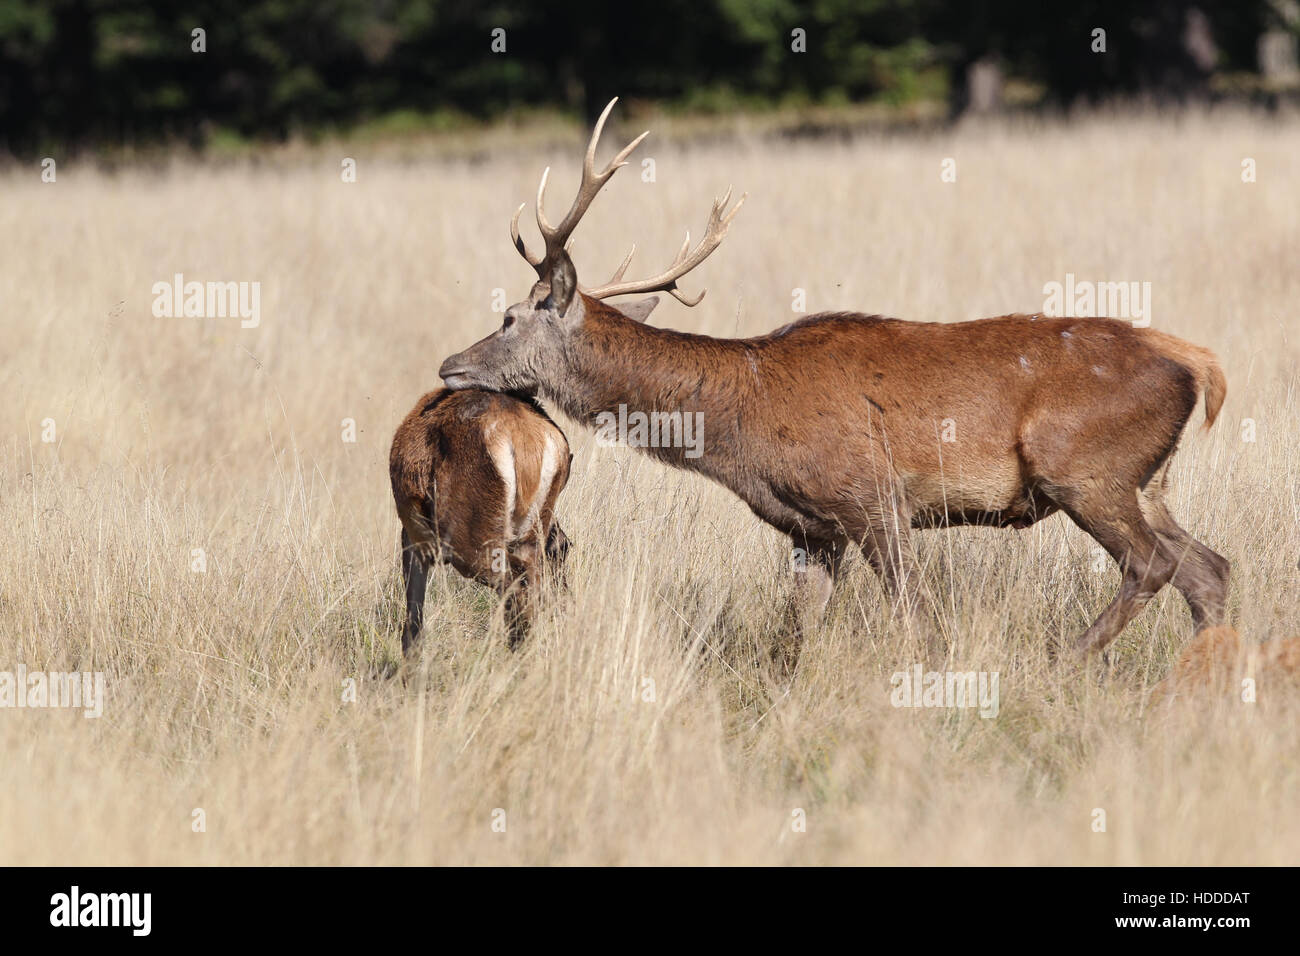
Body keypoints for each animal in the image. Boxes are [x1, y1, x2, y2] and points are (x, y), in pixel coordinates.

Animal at [389, 387, 571, 656]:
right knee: (532, 588)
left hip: (471, 541)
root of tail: (526, 444)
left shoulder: (414, 535)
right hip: (531, 534)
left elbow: (414, 616)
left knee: (513, 586)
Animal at [438, 97, 1230, 661]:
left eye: (510, 316)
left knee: (1154, 566)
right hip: (1147, 480)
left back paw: (1065, 661)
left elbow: (917, 622)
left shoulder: (871, 496)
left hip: (1085, 466)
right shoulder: (812, 528)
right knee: (1210, 568)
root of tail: (1197, 362)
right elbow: (793, 637)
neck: (739, 427)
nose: (449, 366)